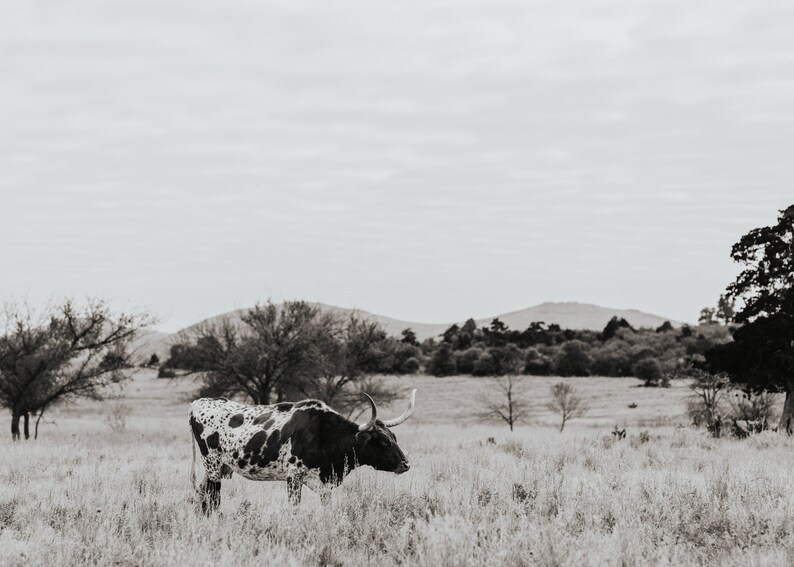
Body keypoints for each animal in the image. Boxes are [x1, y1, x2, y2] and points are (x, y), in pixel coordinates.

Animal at [189, 389, 417, 513]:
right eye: (383, 442)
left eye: (394, 437)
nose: (406, 465)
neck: (325, 434)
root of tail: (199, 402)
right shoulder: (293, 477)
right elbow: (294, 508)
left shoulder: (325, 484)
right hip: (213, 467)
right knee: (213, 499)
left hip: (216, 469)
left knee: (200, 493)